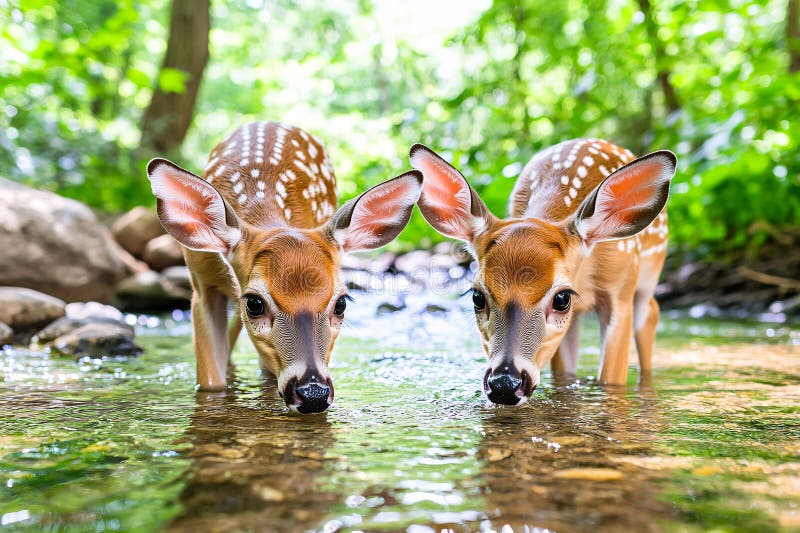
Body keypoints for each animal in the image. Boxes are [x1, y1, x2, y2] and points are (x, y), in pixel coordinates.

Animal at [410, 139, 676, 405]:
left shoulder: (619, 289)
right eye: (477, 296)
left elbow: (611, 378)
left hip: (647, 276)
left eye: (562, 298)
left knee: (650, 312)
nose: (504, 384)